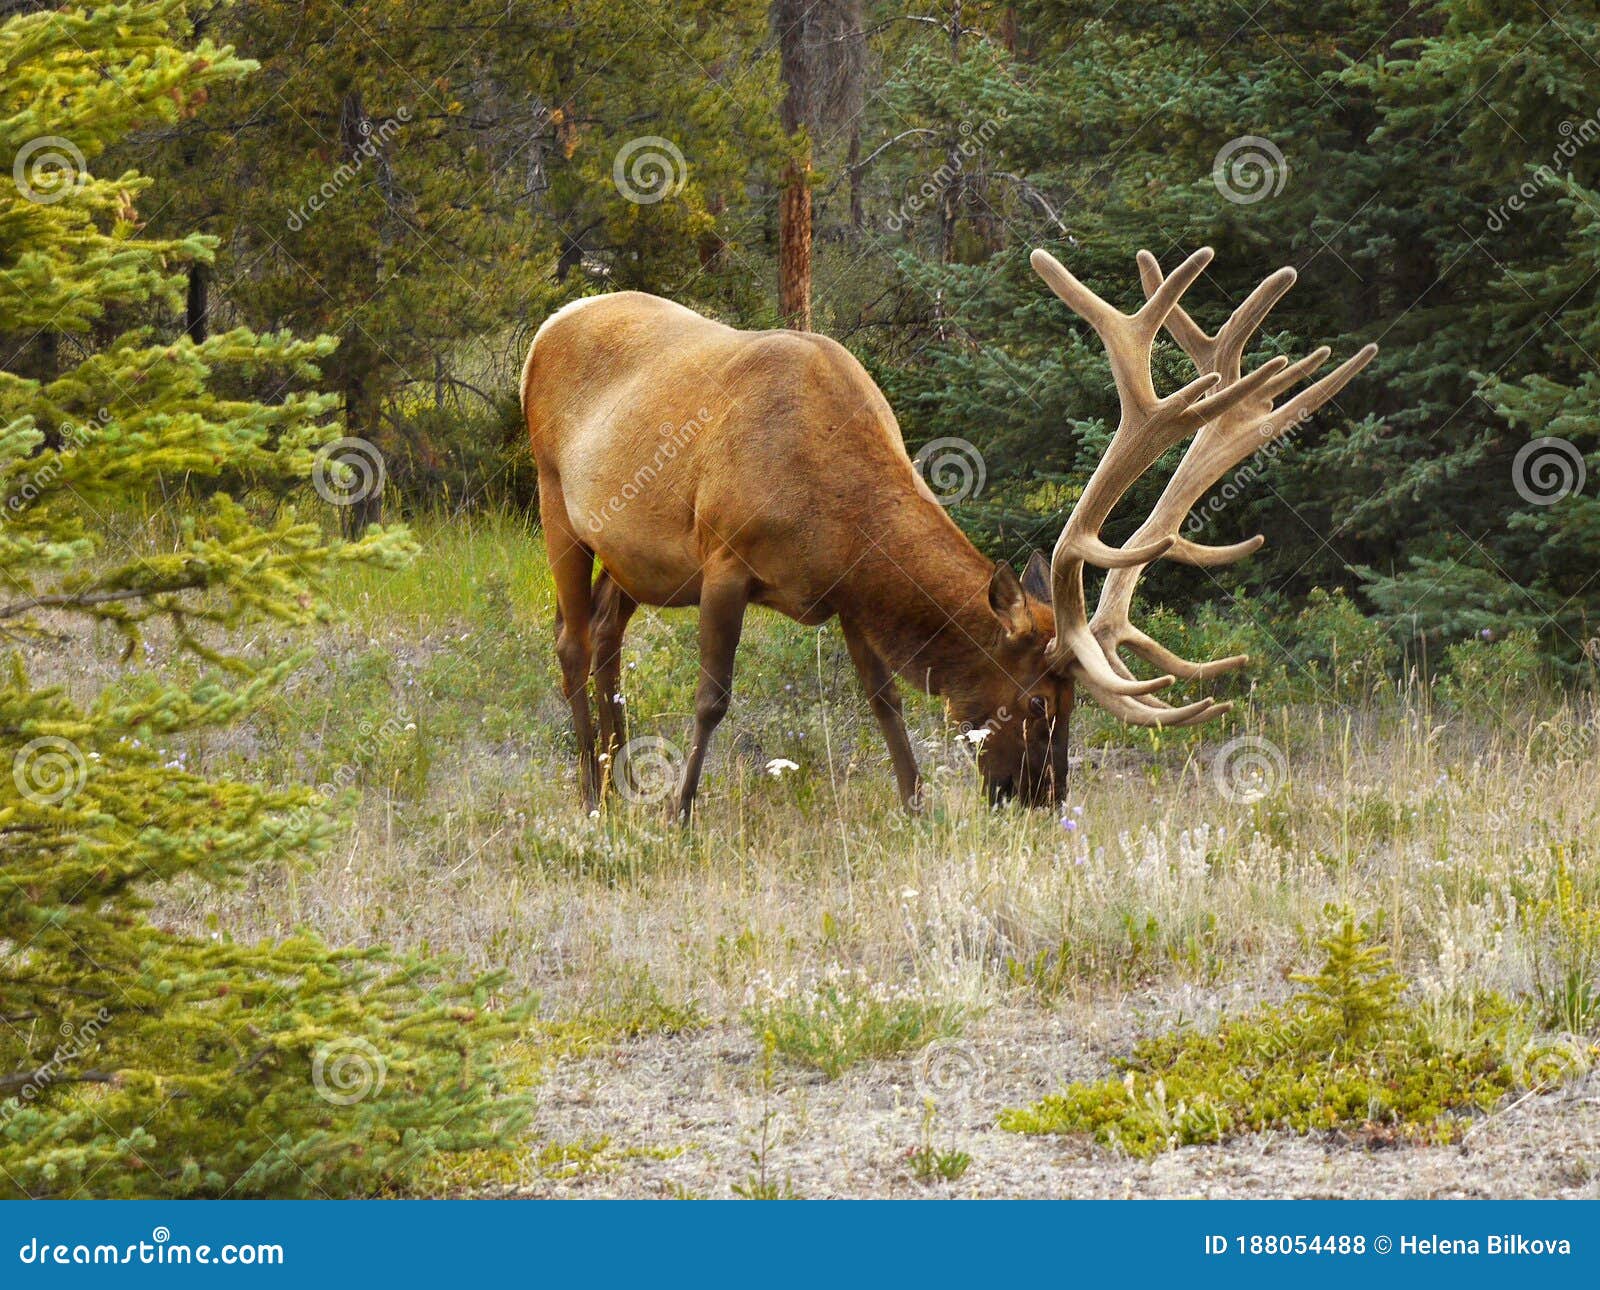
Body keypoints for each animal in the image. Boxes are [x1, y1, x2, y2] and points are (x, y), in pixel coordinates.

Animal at [521, 246, 1376, 820]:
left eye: (1075, 703)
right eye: (1037, 702)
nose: (1042, 798)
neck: (833, 507)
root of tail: (550, 322)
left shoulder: (845, 594)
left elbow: (886, 701)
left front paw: (916, 804)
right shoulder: (725, 559)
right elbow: (711, 698)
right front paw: (681, 813)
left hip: (636, 560)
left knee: (606, 635)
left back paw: (623, 773)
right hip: (555, 496)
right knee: (569, 641)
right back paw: (594, 794)